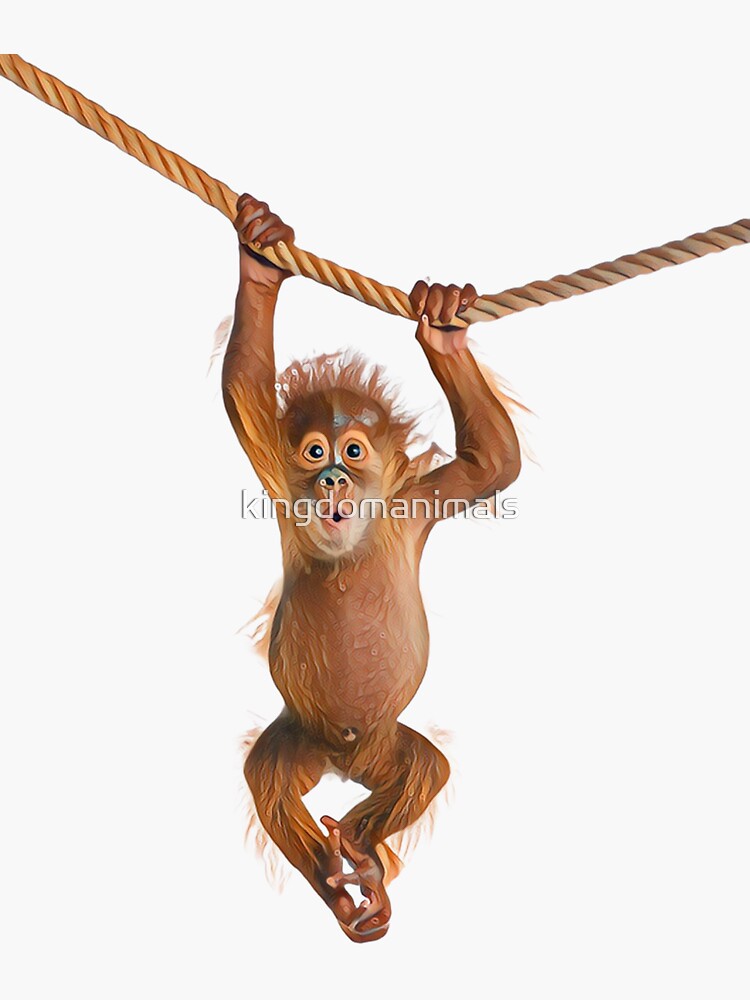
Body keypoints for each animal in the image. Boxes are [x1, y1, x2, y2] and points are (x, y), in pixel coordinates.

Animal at [222, 193, 522, 942]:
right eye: (314, 451)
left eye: (354, 451)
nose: (331, 478)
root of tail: (343, 760)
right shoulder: (276, 475)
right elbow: (242, 387)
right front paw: (260, 255)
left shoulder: (417, 507)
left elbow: (493, 464)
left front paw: (442, 325)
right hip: (300, 740)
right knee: (268, 781)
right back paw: (337, 882)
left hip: (385, 748)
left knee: (425, 768)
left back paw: (361, 852)